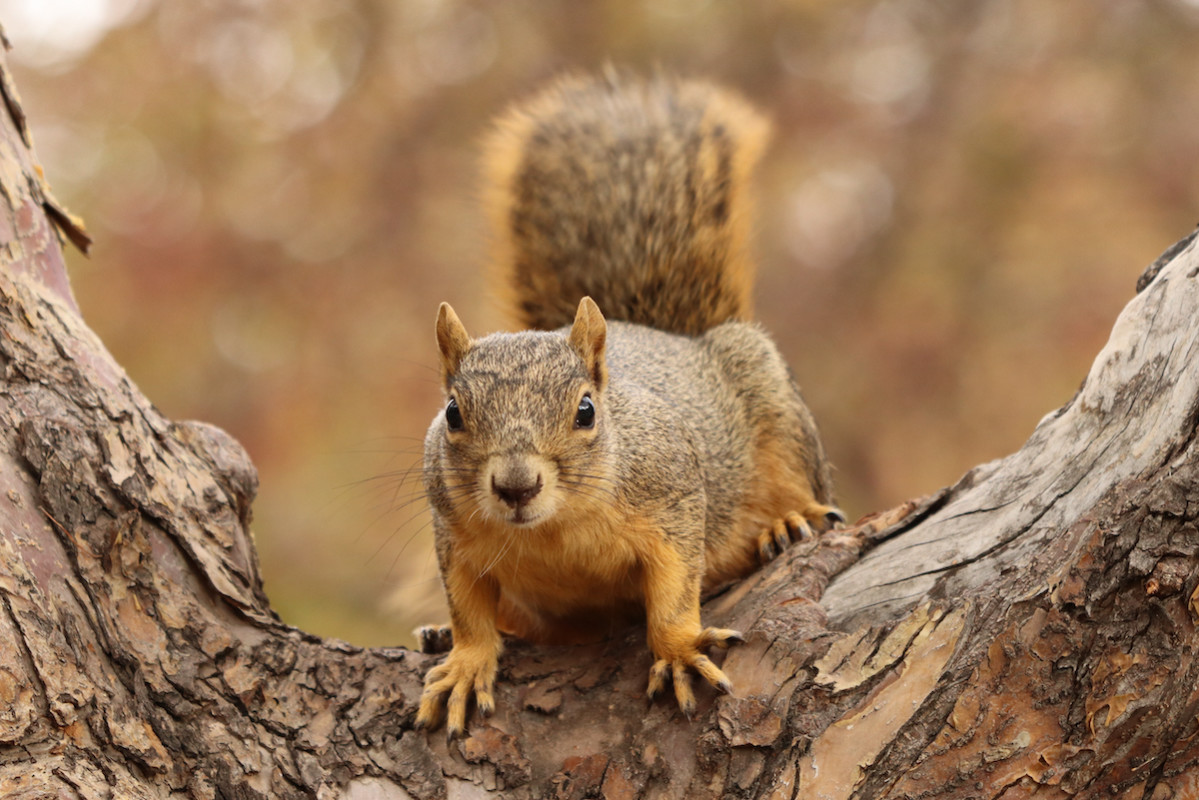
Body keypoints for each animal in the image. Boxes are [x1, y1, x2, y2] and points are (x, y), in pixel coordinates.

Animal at [415, 69, 842, 738]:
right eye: (454, 413)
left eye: (587, 410)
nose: (515, 487)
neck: (553, 532)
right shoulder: (453, 536)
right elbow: (468, 611)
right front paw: (463, 660)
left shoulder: (673, 502)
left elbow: (674, 589)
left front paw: (678, 649)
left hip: (774, 408)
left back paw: (787, 521)